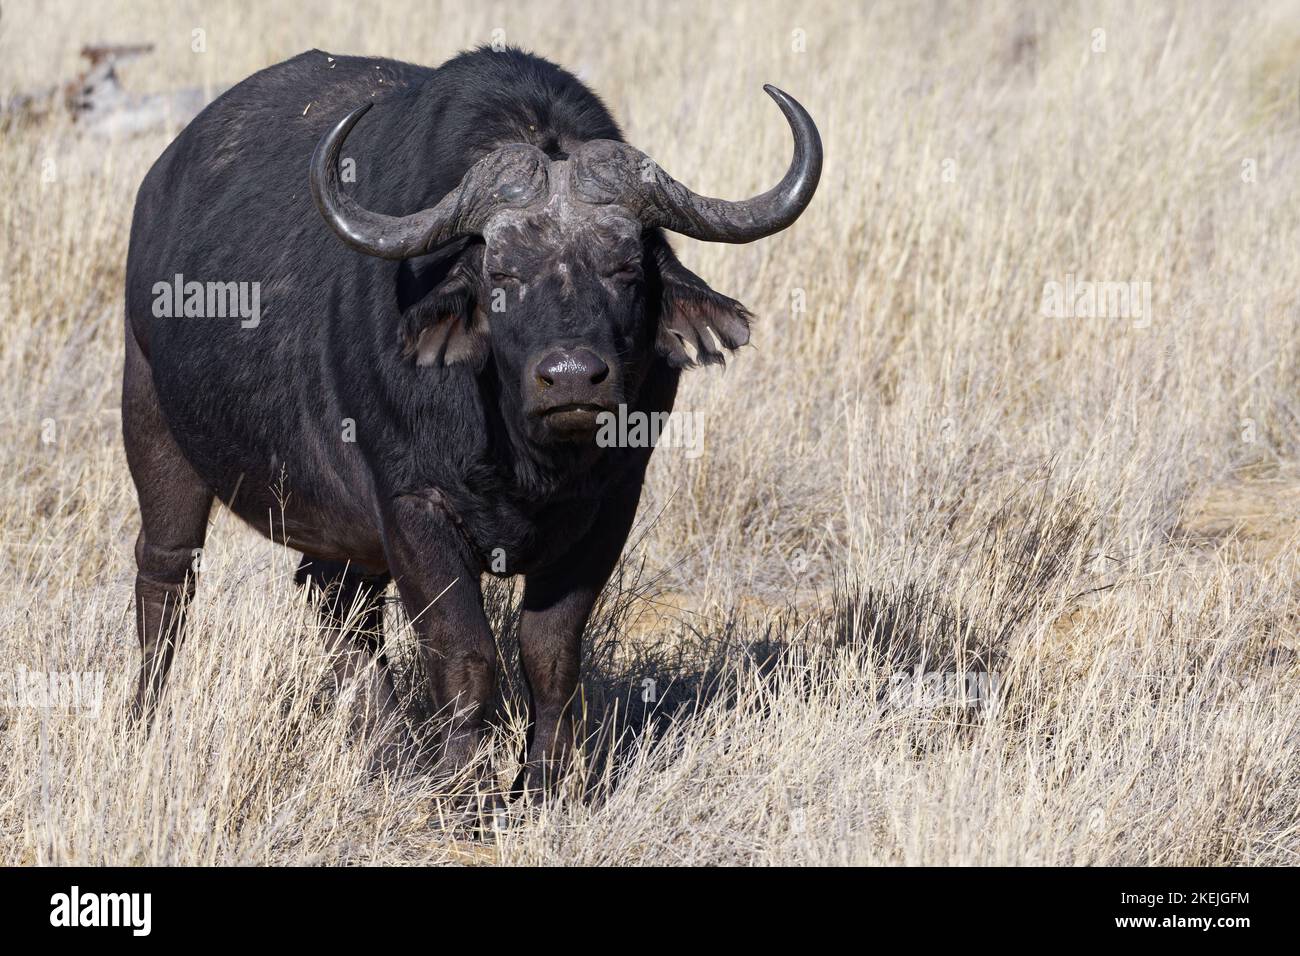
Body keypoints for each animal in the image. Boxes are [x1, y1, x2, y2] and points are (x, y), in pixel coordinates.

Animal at [123, 46, 821, 795]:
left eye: (627, 268)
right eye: (502, 273)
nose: (571, 376)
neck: (527, 457)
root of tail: (159, 183)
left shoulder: (611, 507)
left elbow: (549, 651)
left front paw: (545, 782)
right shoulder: (413, 507)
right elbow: (466, 655)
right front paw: (461, 787)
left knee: (335, 601)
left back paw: (387, 747)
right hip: (152, 423)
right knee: (168, 575)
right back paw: (147, 718)